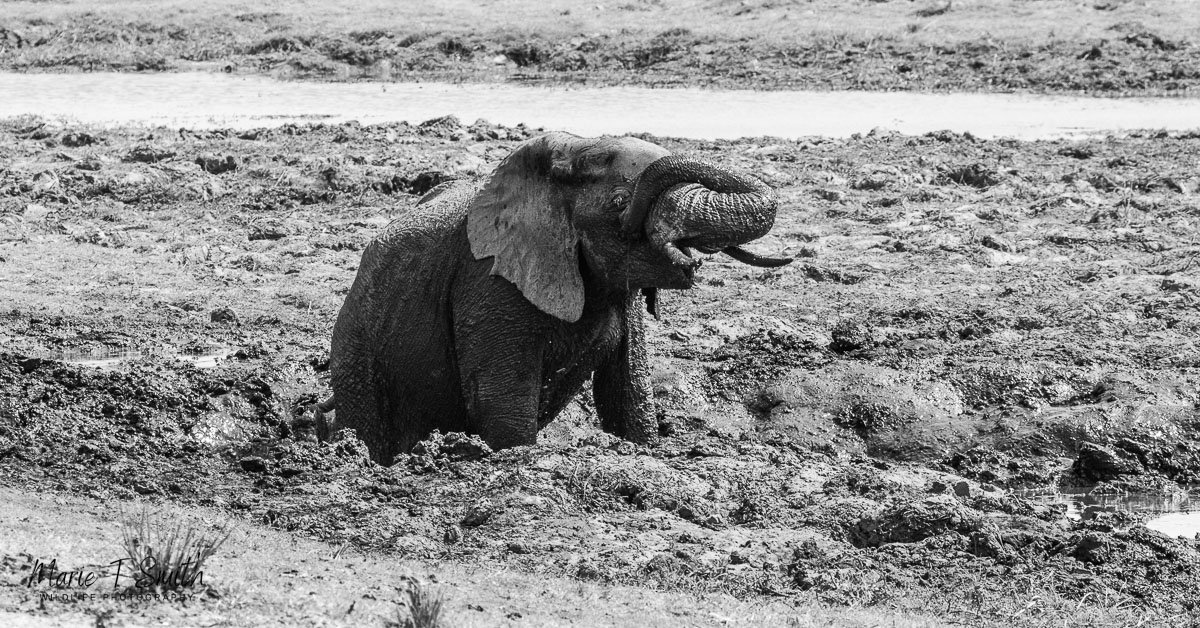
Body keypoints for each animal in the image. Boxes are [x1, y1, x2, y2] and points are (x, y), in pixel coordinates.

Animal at [325, 132, 790, 463]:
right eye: (619, 202)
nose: (689, 259)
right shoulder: (488, 281)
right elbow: (502, 404)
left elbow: (628, 395)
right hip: (357, 352)